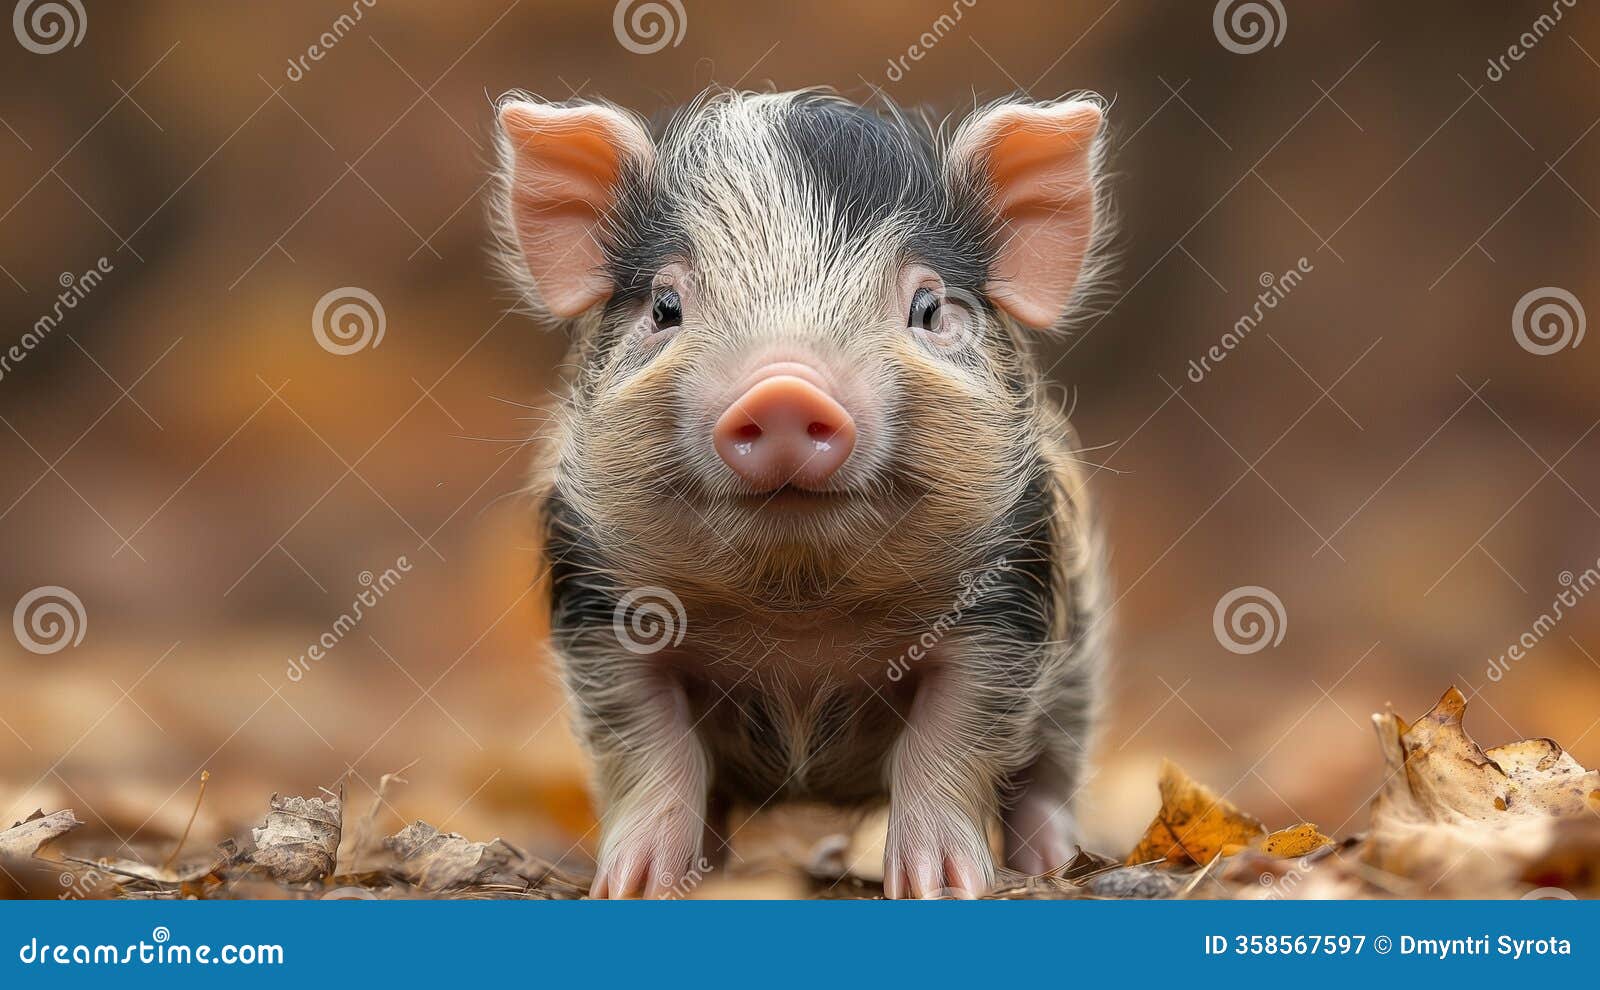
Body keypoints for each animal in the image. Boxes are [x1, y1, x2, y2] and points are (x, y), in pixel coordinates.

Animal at [492, 88, 1111, 898]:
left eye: (928, 308)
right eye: (664, 306)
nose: (784, 389)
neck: (798, 615)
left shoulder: (1008, 602)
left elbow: (949, 744)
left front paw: (943, 885)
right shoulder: (598, 606)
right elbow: (650, 751)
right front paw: (630, 885)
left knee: (1048, 777)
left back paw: (1051, 865)